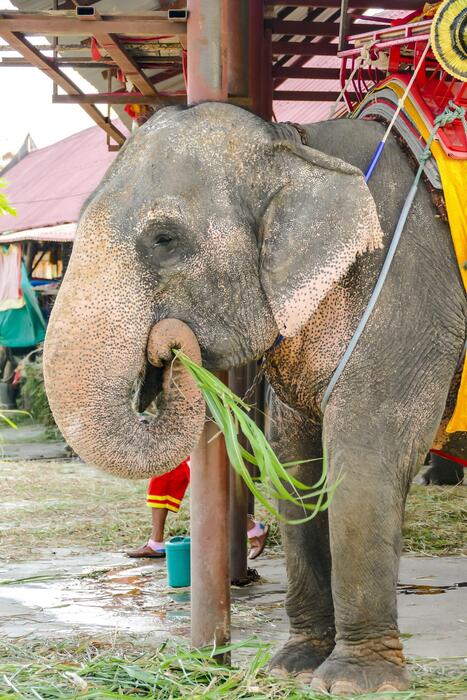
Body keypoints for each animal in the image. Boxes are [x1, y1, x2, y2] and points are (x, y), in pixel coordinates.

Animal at [43, 102, 466, 695]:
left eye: (164, 239)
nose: (168, 345)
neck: (299, 146)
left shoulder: (408, 303)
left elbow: (365, 460)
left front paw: (353, 682)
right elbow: (296, 466)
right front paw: (292, 666)